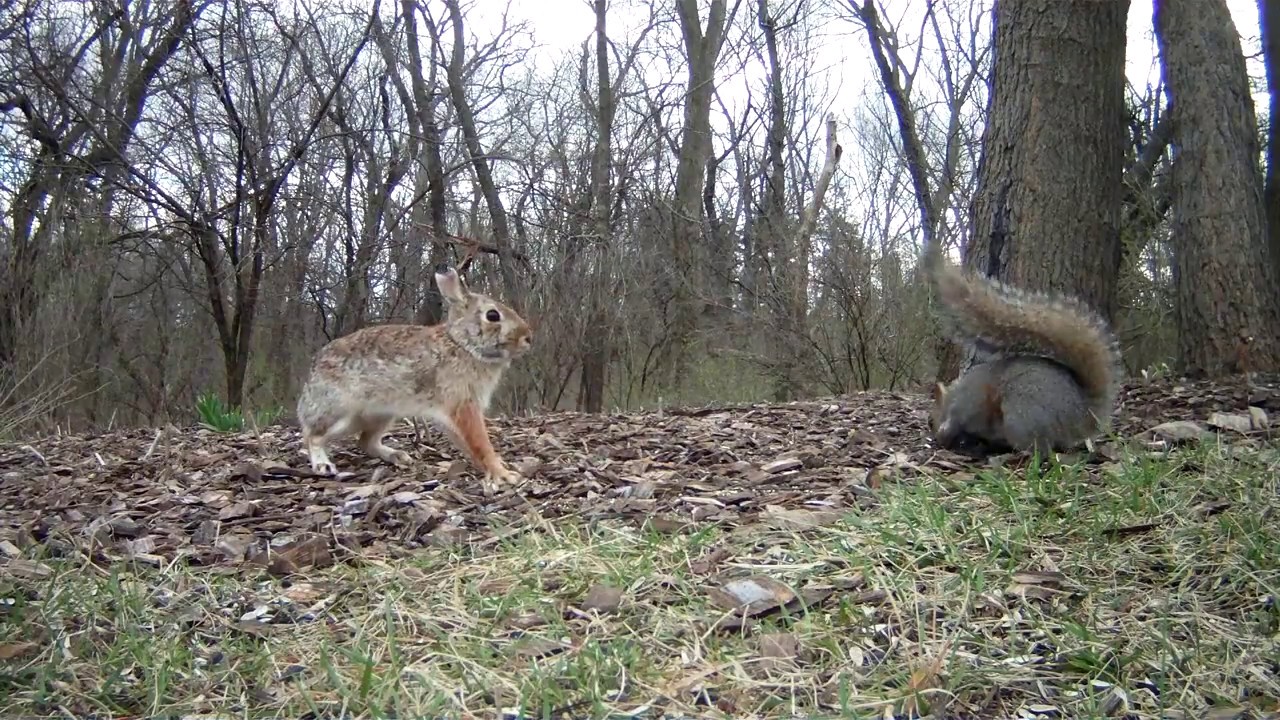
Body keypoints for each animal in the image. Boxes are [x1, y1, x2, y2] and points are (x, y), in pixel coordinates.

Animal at [296, 265, 533, 487]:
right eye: (492, 315)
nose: (528, 337)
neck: (462, 344)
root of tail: (311, 378)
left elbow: (467, 444)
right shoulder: (462, 404)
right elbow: (480, 442)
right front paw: (504, 474)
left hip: (382, 414)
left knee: (365, 442)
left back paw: (397, 456)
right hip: (339, 413)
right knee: (312, 436)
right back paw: (323, 465)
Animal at [921, 236, 1122, 456]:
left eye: (930, 421)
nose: (939, 440)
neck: (952, 397)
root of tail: (1082, 415)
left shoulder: (970, 401)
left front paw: (948, 432)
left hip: (1022, 414)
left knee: (1041, 448)